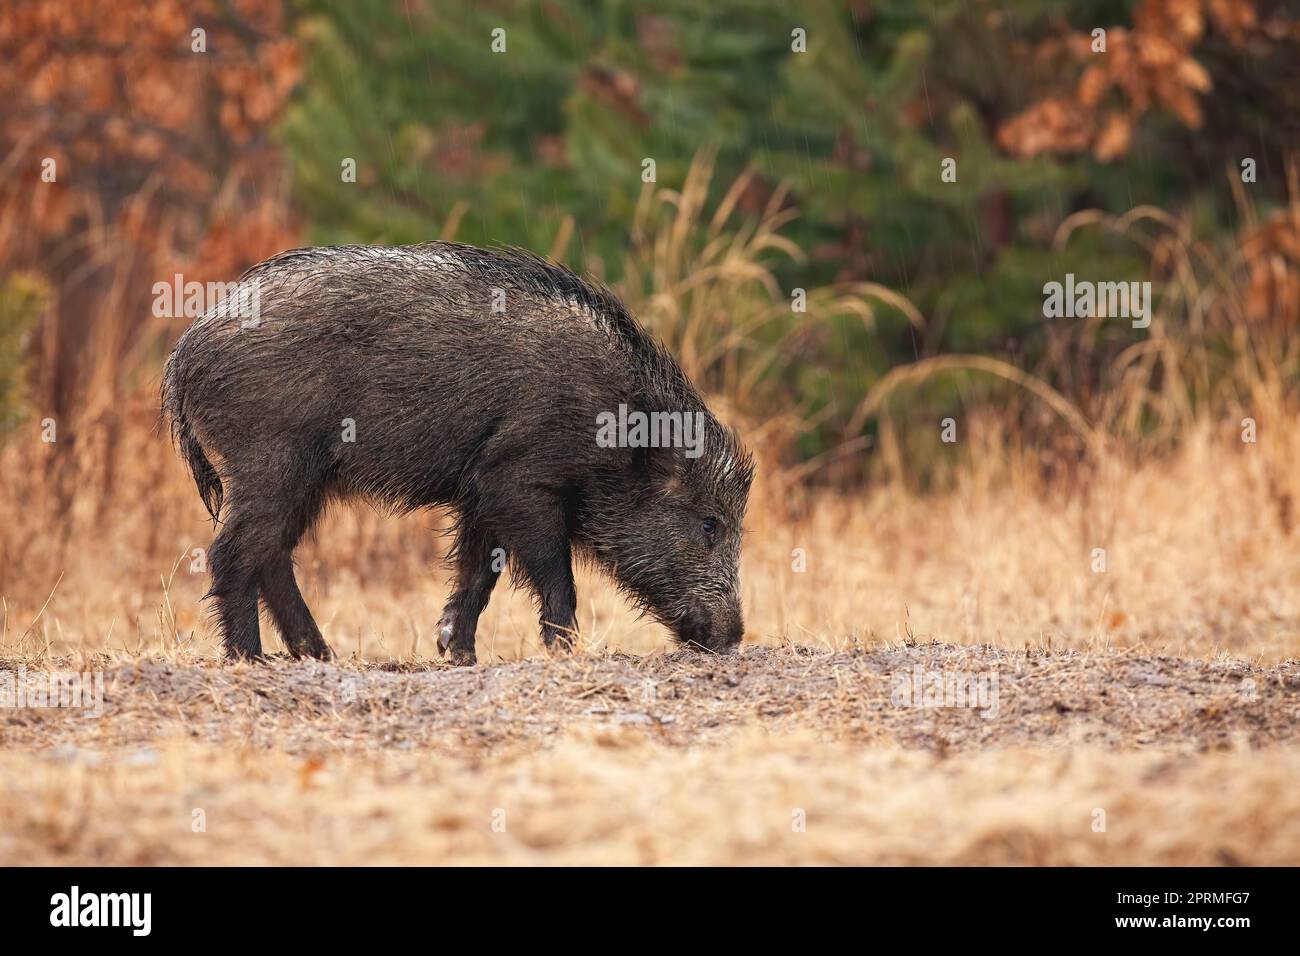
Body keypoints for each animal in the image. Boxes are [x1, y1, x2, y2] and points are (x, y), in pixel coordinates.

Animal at [161, 242, 754, 664]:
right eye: (709, 525)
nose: (732, 637)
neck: (615, 425)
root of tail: (186, 349)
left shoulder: (483, 489)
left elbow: (479, 568)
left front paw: (456, 651)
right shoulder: (519, 480)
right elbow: (551, 569)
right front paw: (564, 651)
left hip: (303, 479)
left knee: (272, 553)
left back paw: (319, 655)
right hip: (271, 461)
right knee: (234, 552)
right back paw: (251, 658)